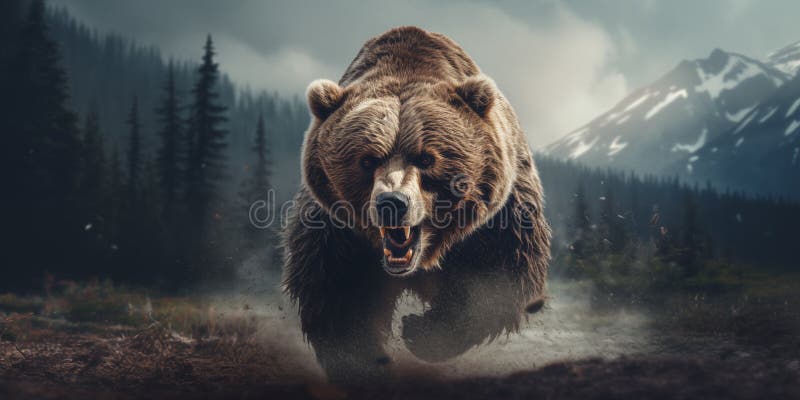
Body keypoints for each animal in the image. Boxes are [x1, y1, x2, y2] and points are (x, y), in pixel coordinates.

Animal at [283, 26, 551, 382]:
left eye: (426, 158)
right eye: (367, 160)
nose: (392, 202)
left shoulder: (495, 220)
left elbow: (499, 280)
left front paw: (421, 332)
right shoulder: (337, 230)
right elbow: (338, 293)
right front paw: (364, 362)